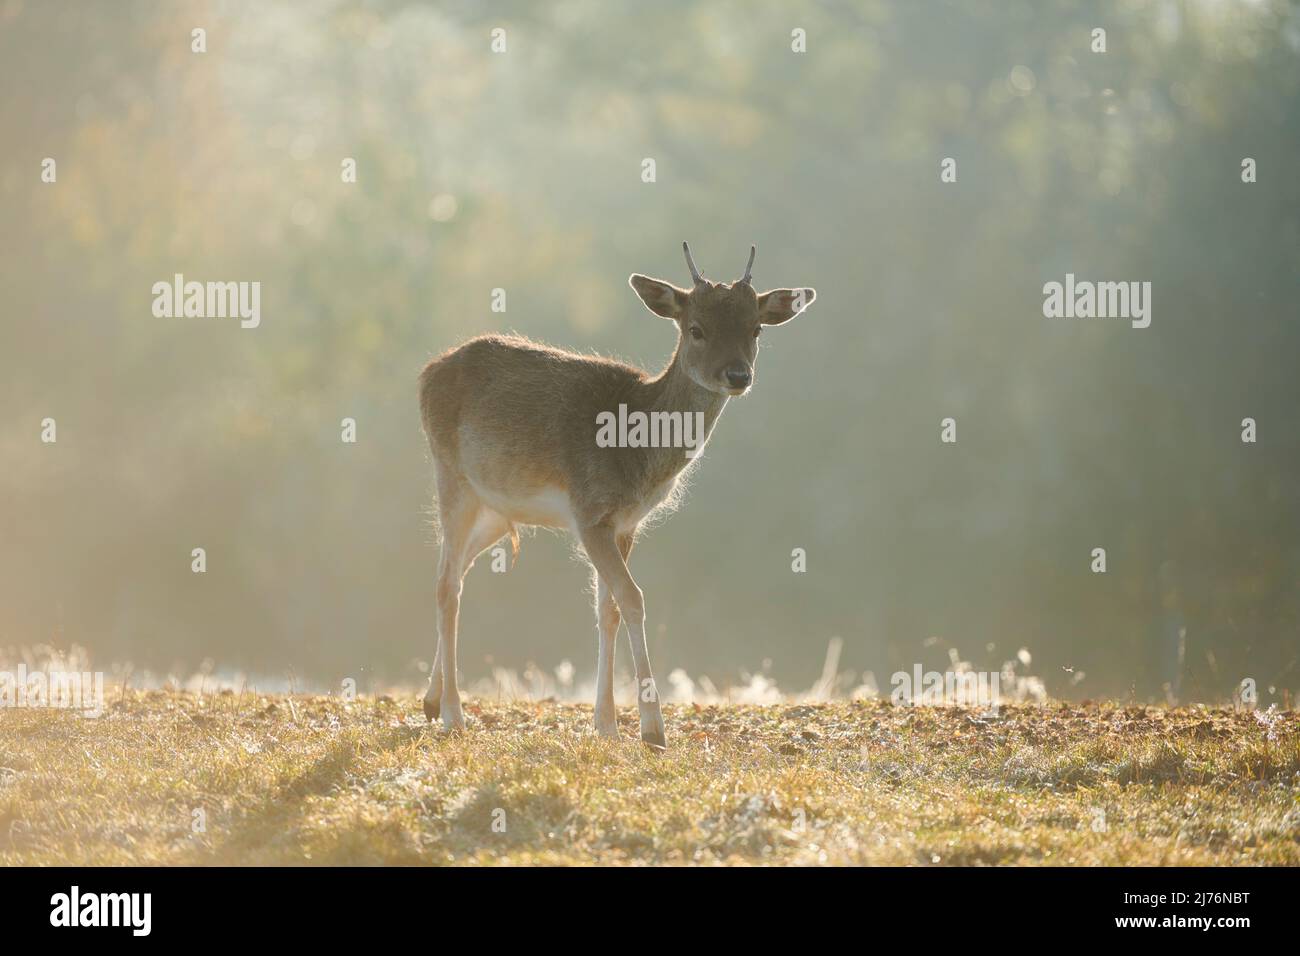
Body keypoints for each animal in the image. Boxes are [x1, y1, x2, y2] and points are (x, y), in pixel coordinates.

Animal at [417, 242, 816, 748]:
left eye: (756, 327)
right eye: (696, 328)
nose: (738, 374)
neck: (638, 448)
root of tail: (427, 372)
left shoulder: (627, 523)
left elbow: (606, 608)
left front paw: (606, 724)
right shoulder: (589, 513)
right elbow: (632, 598)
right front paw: (652, 730)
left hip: (496, 508)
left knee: (458, 569)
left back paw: (431, 701)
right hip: (451, 476)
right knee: (446, 583)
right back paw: (454, 714)